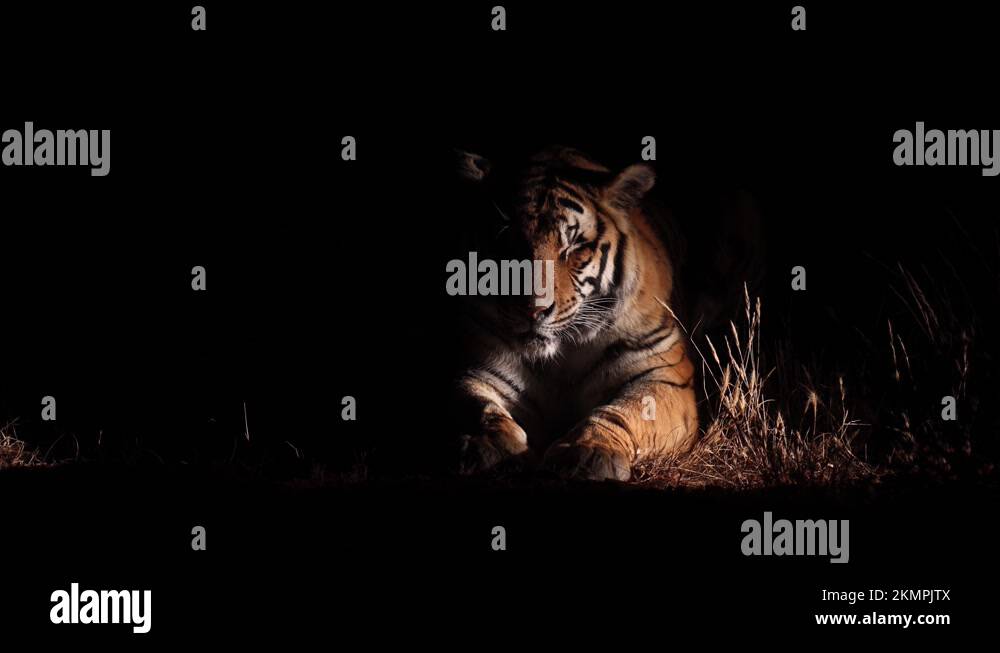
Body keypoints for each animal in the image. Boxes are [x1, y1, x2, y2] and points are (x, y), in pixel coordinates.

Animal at [451, 145, 698, 481]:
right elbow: (478, 406)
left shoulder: (662, 371)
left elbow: (625, 411)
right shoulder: (479, 368)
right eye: (506, 242)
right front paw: (494, 450)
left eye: (575, 247)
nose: (533, 309)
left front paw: (588, 451)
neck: (559, 360)